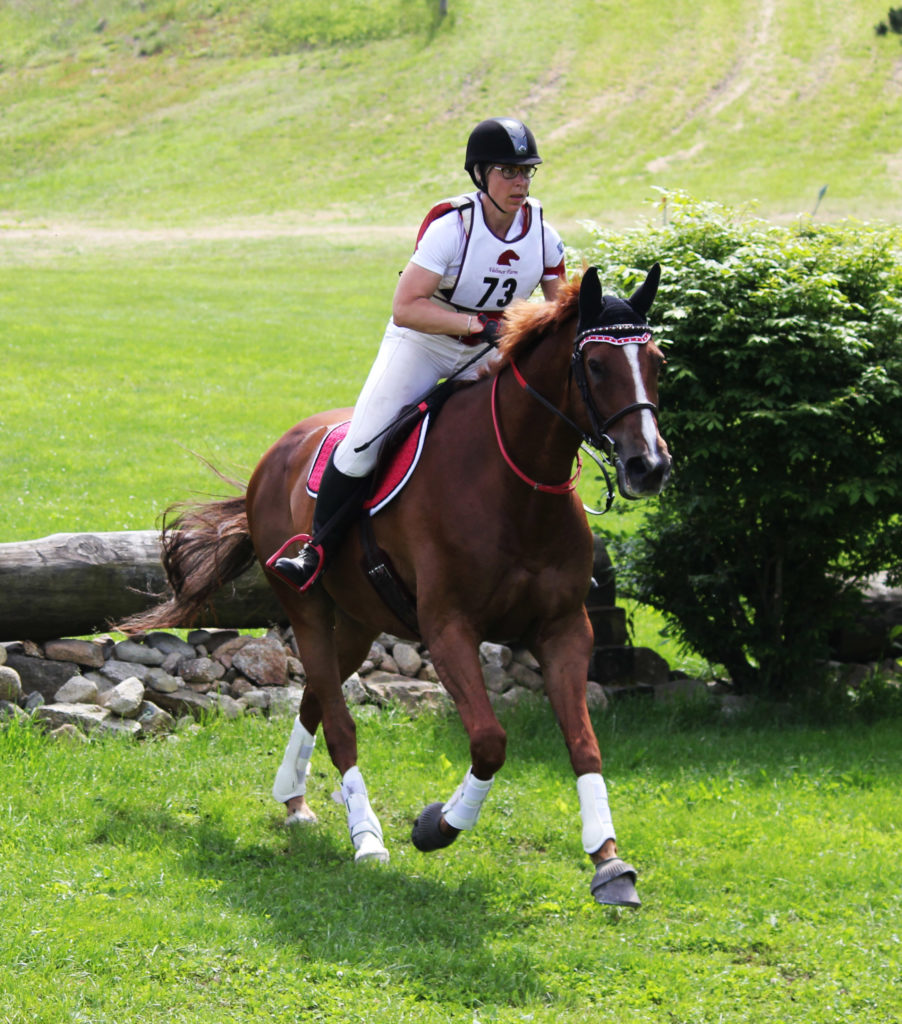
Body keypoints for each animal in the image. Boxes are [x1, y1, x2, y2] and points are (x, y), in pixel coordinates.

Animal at [122, 264, 671, 907]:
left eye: (658, 360)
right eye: (597, 366)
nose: (649, 466)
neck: (518, 486)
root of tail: (277, 451)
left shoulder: (564, 628)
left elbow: (584, 743)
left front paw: (609, 862)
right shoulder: (448, 627)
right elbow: (489, 740)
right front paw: (437, 826)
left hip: (360, 621)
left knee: (315, 699)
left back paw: (295, 800)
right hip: (307, 606)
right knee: (337, 720)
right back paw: (367, 837)